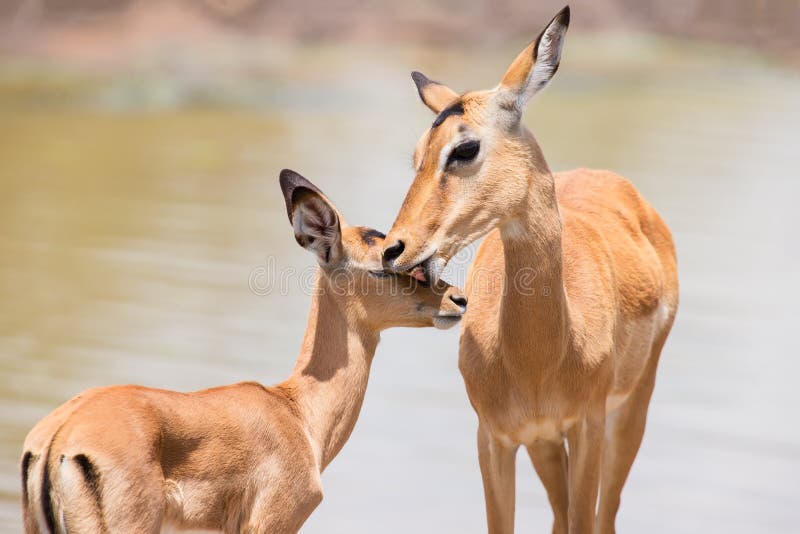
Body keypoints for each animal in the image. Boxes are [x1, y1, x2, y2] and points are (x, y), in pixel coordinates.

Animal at [381, 6, 679, 534]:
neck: (543, 357)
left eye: (464, 148)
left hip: (630, 409)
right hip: (546, 442)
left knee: (606, 514)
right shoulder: (497, 438)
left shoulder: (587, 427)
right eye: (418, 154)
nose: (396, 249)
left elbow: (586, 520)